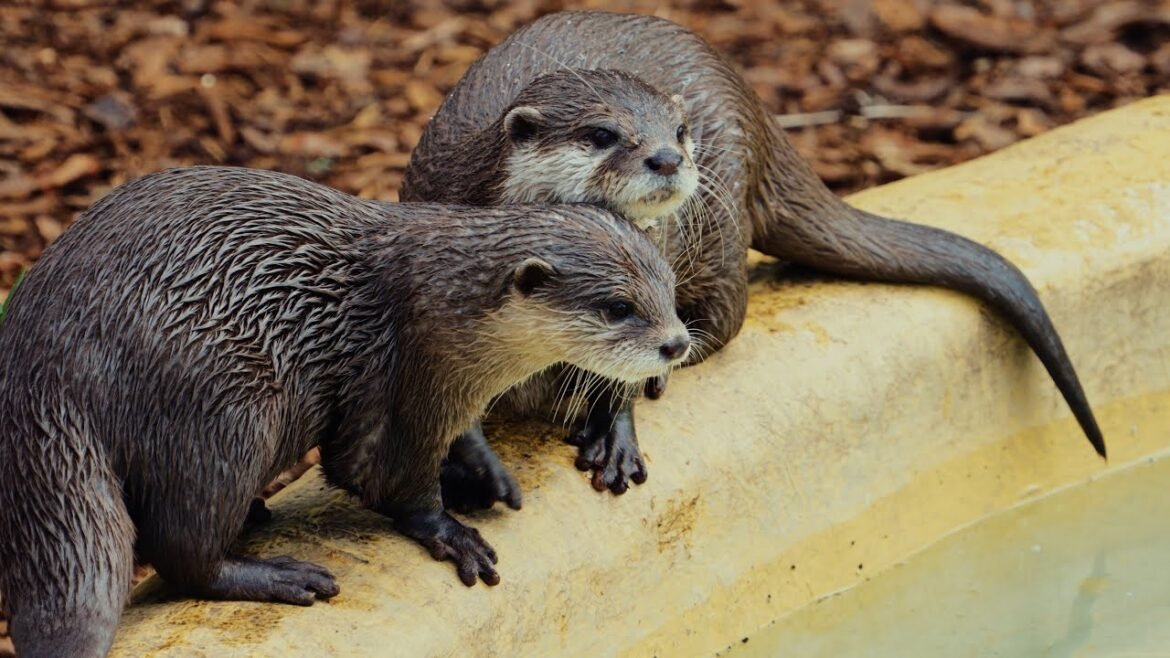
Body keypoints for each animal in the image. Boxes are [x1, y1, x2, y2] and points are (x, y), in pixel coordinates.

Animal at [0, 166, 688, 658]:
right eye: (618, 307)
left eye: (668, 289)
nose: (678, 343)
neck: (444, 307)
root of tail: (40, 356)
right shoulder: (410, 377)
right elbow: (381, 478)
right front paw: (450, 531)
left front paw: (487, 475)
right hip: (228, 402)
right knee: (183, 550)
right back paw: (277, 575)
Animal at [402, 10, 1106, 500]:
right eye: (601, 134)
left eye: (679, 131)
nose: (669, 156)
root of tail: (749, 101)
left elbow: (637, 353)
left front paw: (616, 434)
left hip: (717, 235)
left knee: (728, 318)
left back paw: (668, 370)